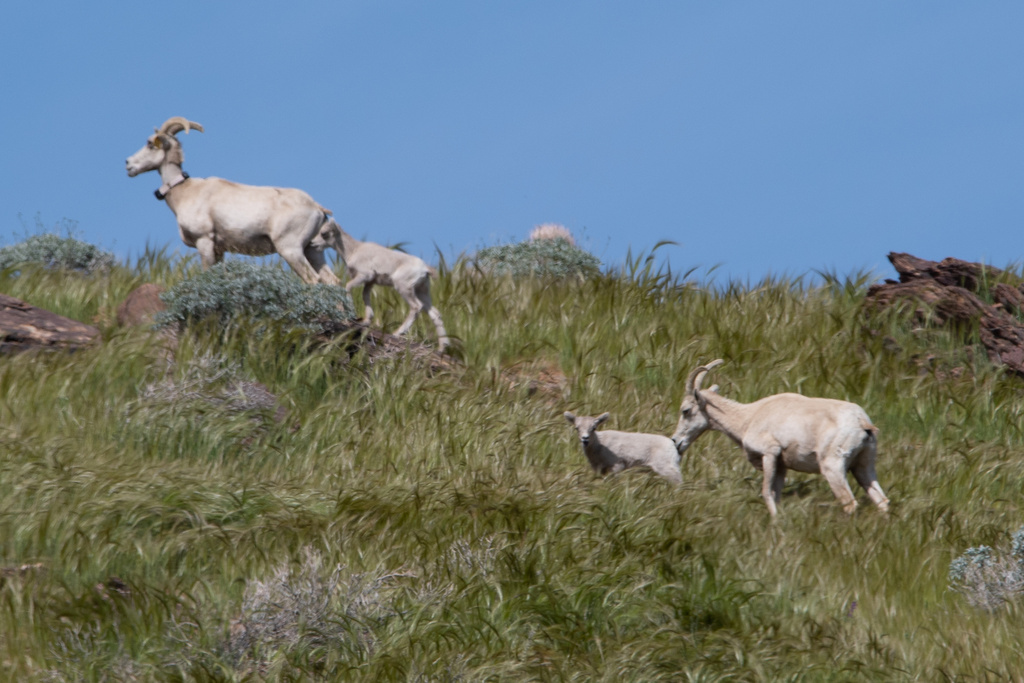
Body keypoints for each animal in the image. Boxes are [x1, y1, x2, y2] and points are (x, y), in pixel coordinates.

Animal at [125, 117, 339, 286]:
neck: (185, 193)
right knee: (332, 281)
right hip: (312, 250)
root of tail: (317, 208)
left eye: (150, 144)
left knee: (313, 280)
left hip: (290, 249)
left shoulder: (204, 242)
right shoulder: (219, 250)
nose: (128, 164)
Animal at [313, 220, 449, 350]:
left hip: (404, 288)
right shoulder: (370, 282)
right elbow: (365, 295)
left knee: (416, 307)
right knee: (435, 314)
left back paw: (397, 333)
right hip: (422, 292)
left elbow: (347, 287)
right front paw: (366, 320)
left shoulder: (364, 276)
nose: (313, 244)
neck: (353, 250)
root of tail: (425, 269)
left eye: (324, 233)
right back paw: (442, 347)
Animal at [671, 359, 889, 516]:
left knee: (849, 503)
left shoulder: (769, 455)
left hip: (833, 468)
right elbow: (776, 495)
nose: (676, 442)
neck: (749, 417)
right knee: (882, 501)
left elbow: (767, 492)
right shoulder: (782, 465)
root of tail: (862, 422)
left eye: (686, 410)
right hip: (863, 466)